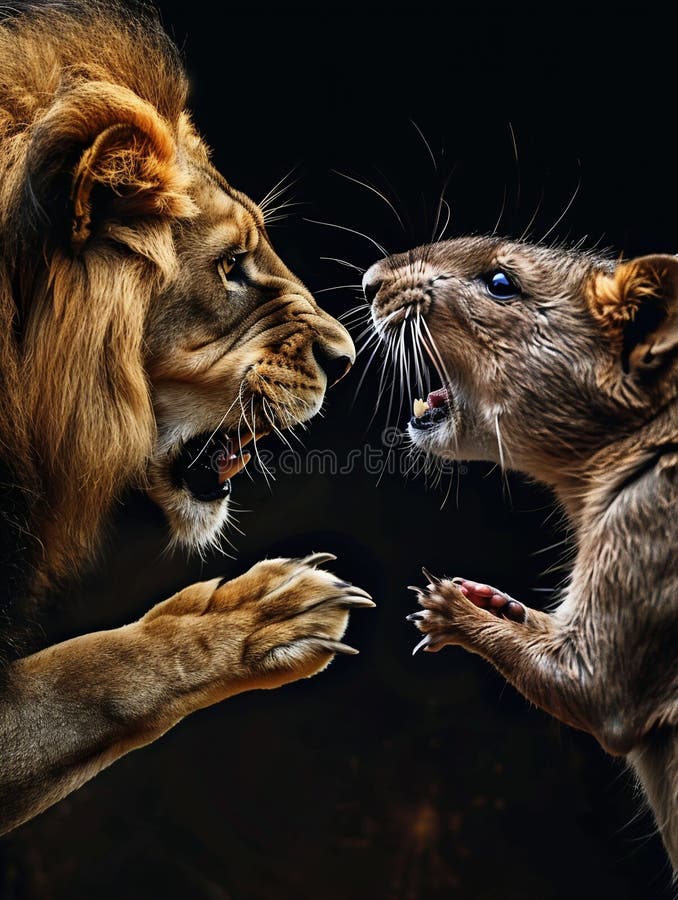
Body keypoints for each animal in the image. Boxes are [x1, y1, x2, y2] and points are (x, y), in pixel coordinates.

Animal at [363, 237, 677, 867]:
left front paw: (452, 611)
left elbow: (592, 688)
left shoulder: (645, 528)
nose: (370, 281)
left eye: (502, 283)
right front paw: (494, 602)